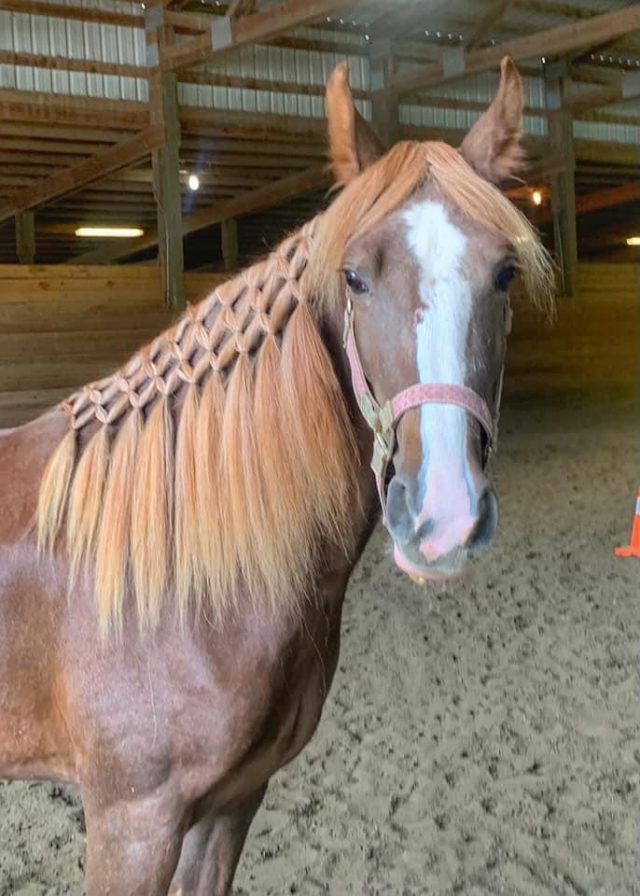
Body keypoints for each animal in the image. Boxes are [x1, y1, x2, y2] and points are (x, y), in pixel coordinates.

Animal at [0, 57, 553, 895]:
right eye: (354, 277)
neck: (185, 573)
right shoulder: (132, 821)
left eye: (505, 273)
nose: (443, 517)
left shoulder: (232, 803)